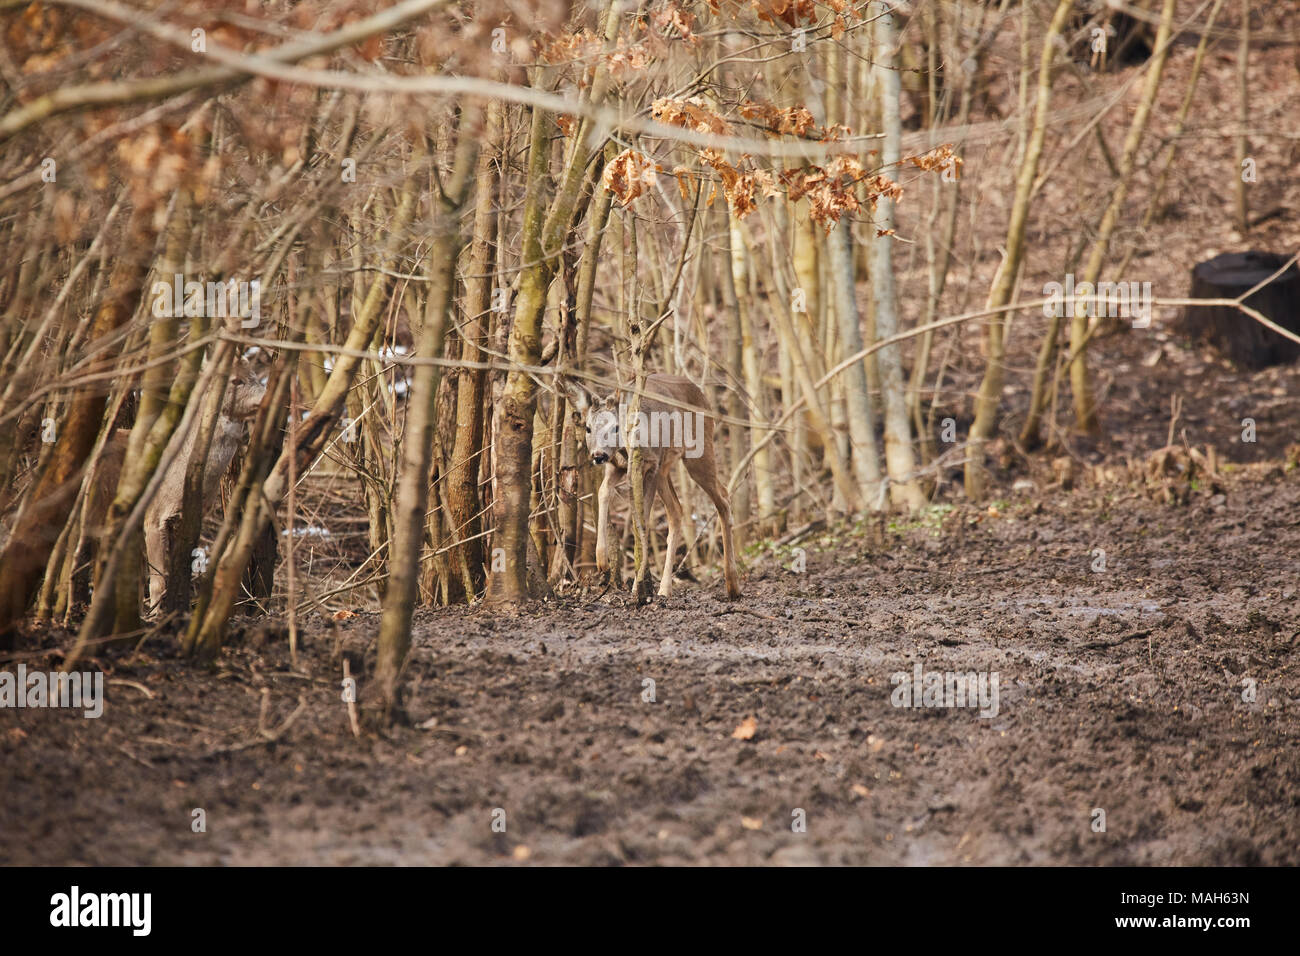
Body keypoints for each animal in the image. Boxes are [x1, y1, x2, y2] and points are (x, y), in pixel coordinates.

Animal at [564, 373, 741, 601]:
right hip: (666, 469)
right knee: (677, 511)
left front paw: (636, 587)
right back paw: (665, 588)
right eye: (588, 428)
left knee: (723, 497)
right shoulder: (617, 467)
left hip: (697, 453)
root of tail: (702, 394)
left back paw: (732, 585)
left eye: (615, 428)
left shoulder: (652, 465)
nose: (598, 455)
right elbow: (603, 493)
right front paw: (602, 562)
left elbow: (642, 518)